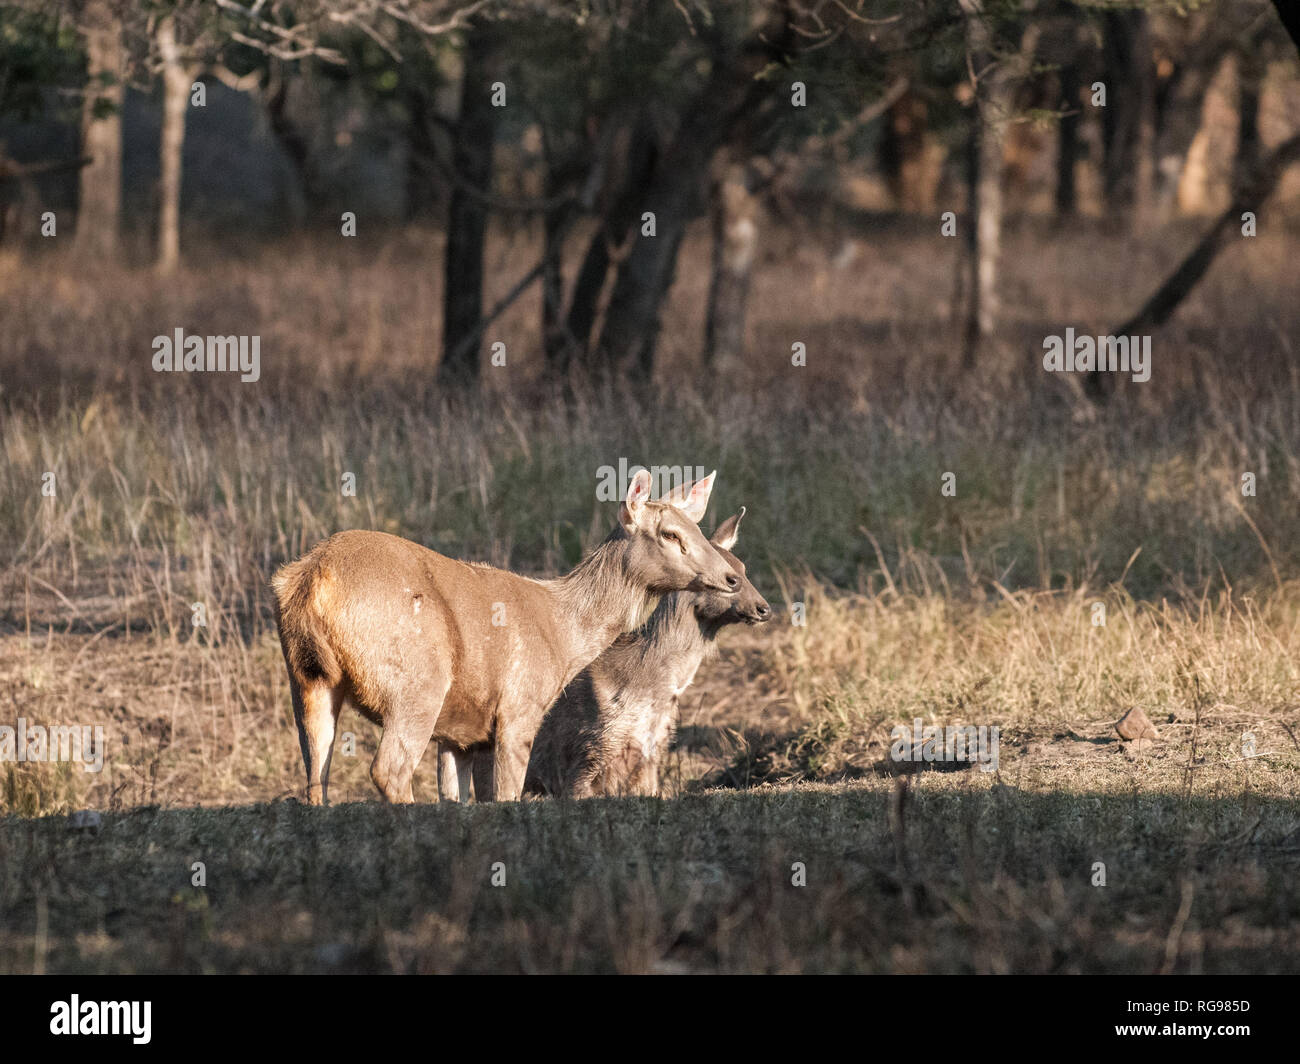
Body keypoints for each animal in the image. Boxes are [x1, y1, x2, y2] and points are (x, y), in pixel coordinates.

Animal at [272, 468, 738, 806]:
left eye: (698, 531)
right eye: (670, 534)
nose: (731, 577)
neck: (564, 634)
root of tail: (314, 578)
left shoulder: (459, 733)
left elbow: (454, 797)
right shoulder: (519, 705)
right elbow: (506, 795)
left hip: (307, 678)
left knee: (316, 773)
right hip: (418, 679)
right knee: (388, 769)